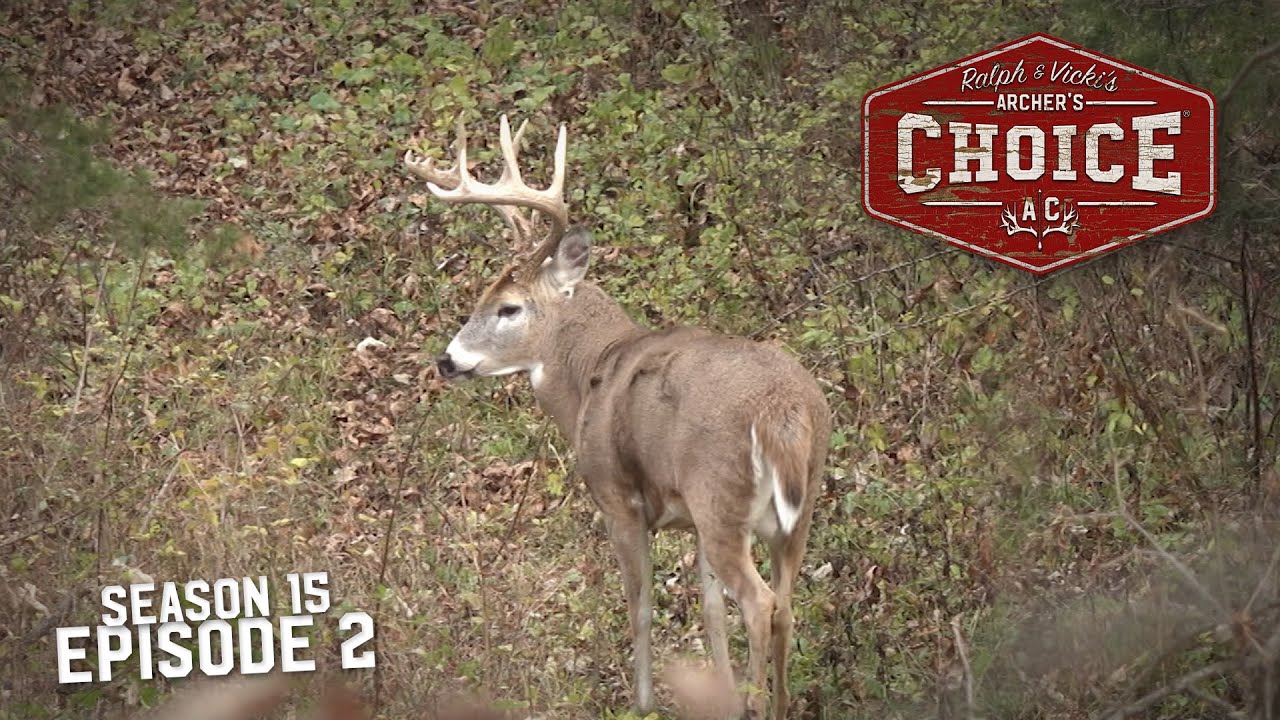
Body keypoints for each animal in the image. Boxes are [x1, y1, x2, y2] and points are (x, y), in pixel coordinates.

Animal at [405, 114, 831, 719]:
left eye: (508, 308)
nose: (447, 360)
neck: (591, 374)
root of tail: (782, 411)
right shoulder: (690, 520)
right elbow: (710, 614)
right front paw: (719, 697)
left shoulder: (618, 498)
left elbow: (642, 604)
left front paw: (644, 702)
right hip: (796, 508)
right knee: (786, 606)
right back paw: (776, 705)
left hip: (720, 496)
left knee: (760, 603)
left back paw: (755, 706)